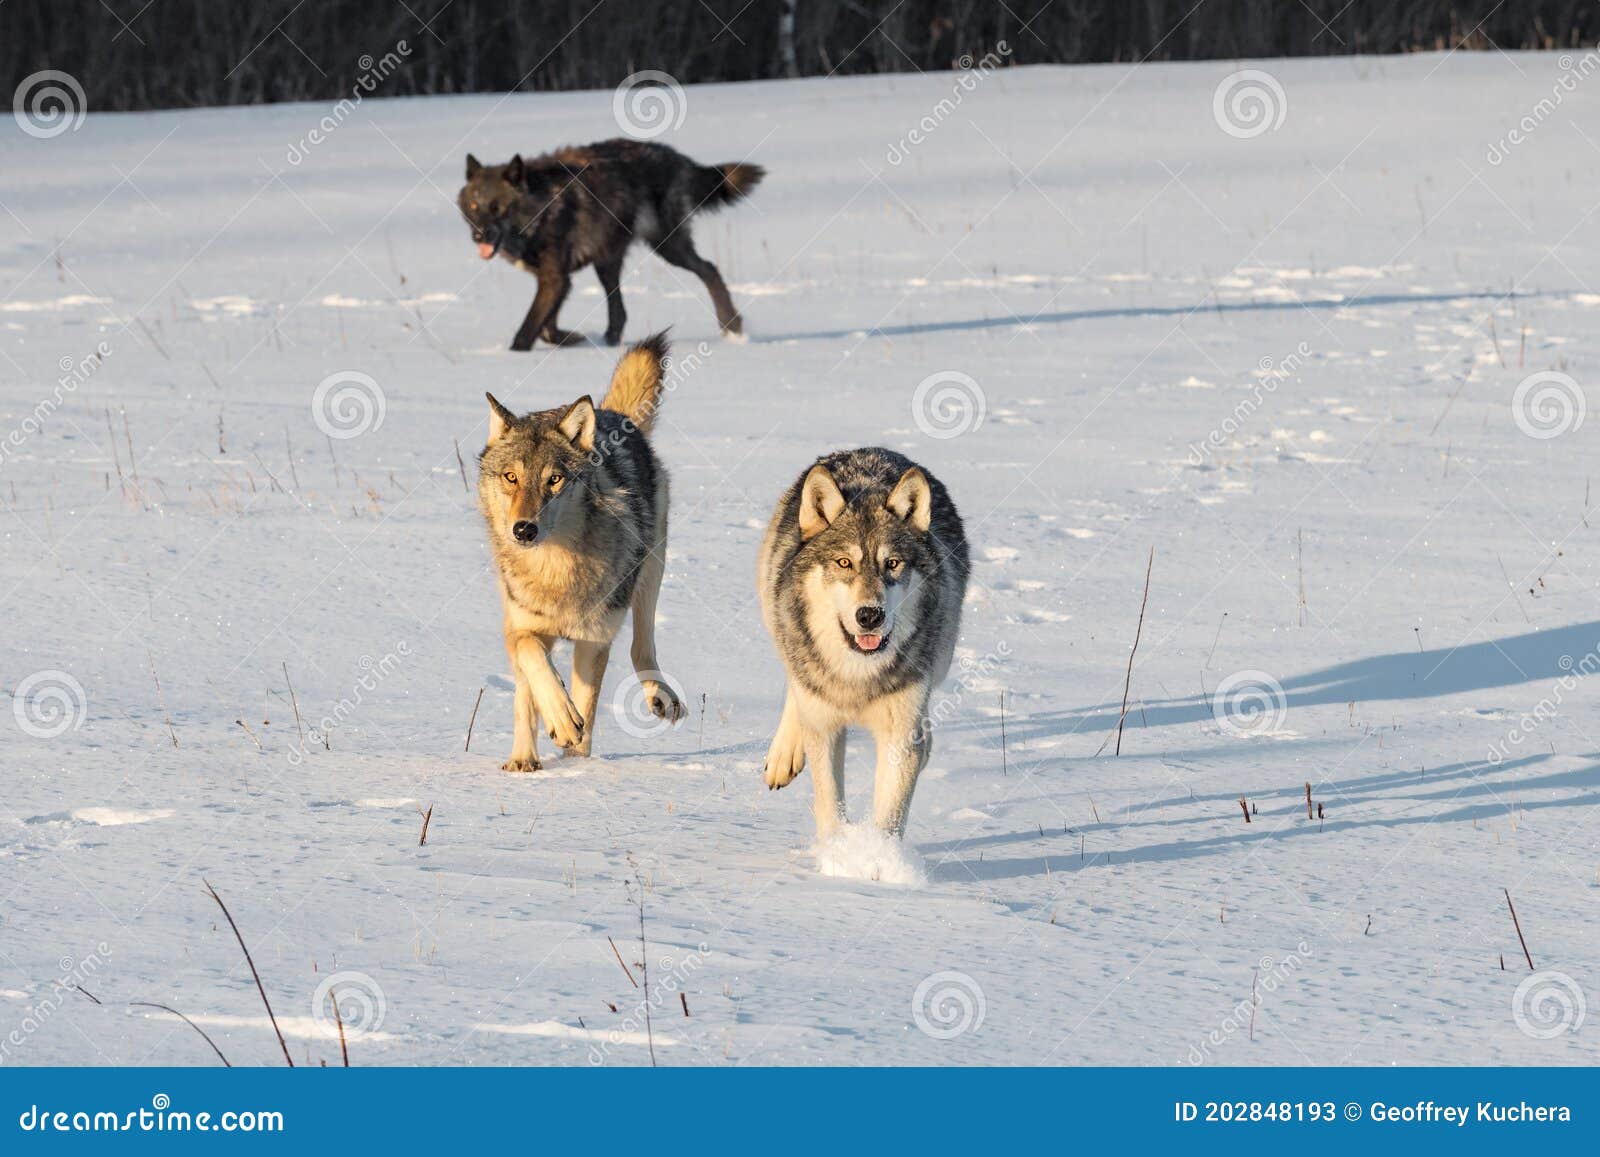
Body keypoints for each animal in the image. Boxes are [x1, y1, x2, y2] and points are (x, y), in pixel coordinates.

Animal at [458, 139, 763, 350]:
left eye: (497, 208)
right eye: (474, 207)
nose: (478, 236)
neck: (541, 208)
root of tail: (672, 154)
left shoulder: (555, 278)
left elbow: (529, 328)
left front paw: (516, 355)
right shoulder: (557, 280)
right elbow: (545, 327)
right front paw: (570, 338)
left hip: (667, 247)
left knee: (709, 269)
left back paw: (731, 325)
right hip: (608, 261)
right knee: (620, 310)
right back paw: (610, 340)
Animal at [479, 332, 687, 771]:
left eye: (554, 480)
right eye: (511, 477)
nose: (523, 529)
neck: (554, 569)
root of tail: (610, 414)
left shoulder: (594, 639)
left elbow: (586, 708)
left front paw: (577, 764)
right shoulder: (520, 626)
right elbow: (535, 671)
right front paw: (551, 730)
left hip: (650, 572)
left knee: (642, 645)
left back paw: (661, 696)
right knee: (524, 689)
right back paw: (523, 758)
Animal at [758, 448, 970, 841]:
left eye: (892, 563)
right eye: (844, 562)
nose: (869, 615)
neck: (858, 673)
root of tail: (872, 450)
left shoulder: (900, 736)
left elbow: (889, 816)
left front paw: (878, 856)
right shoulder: (825, 730)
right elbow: (830, 809)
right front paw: (836, 853)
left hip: (942, 656)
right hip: (774, 614)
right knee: (794, 680)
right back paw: (784, 755)